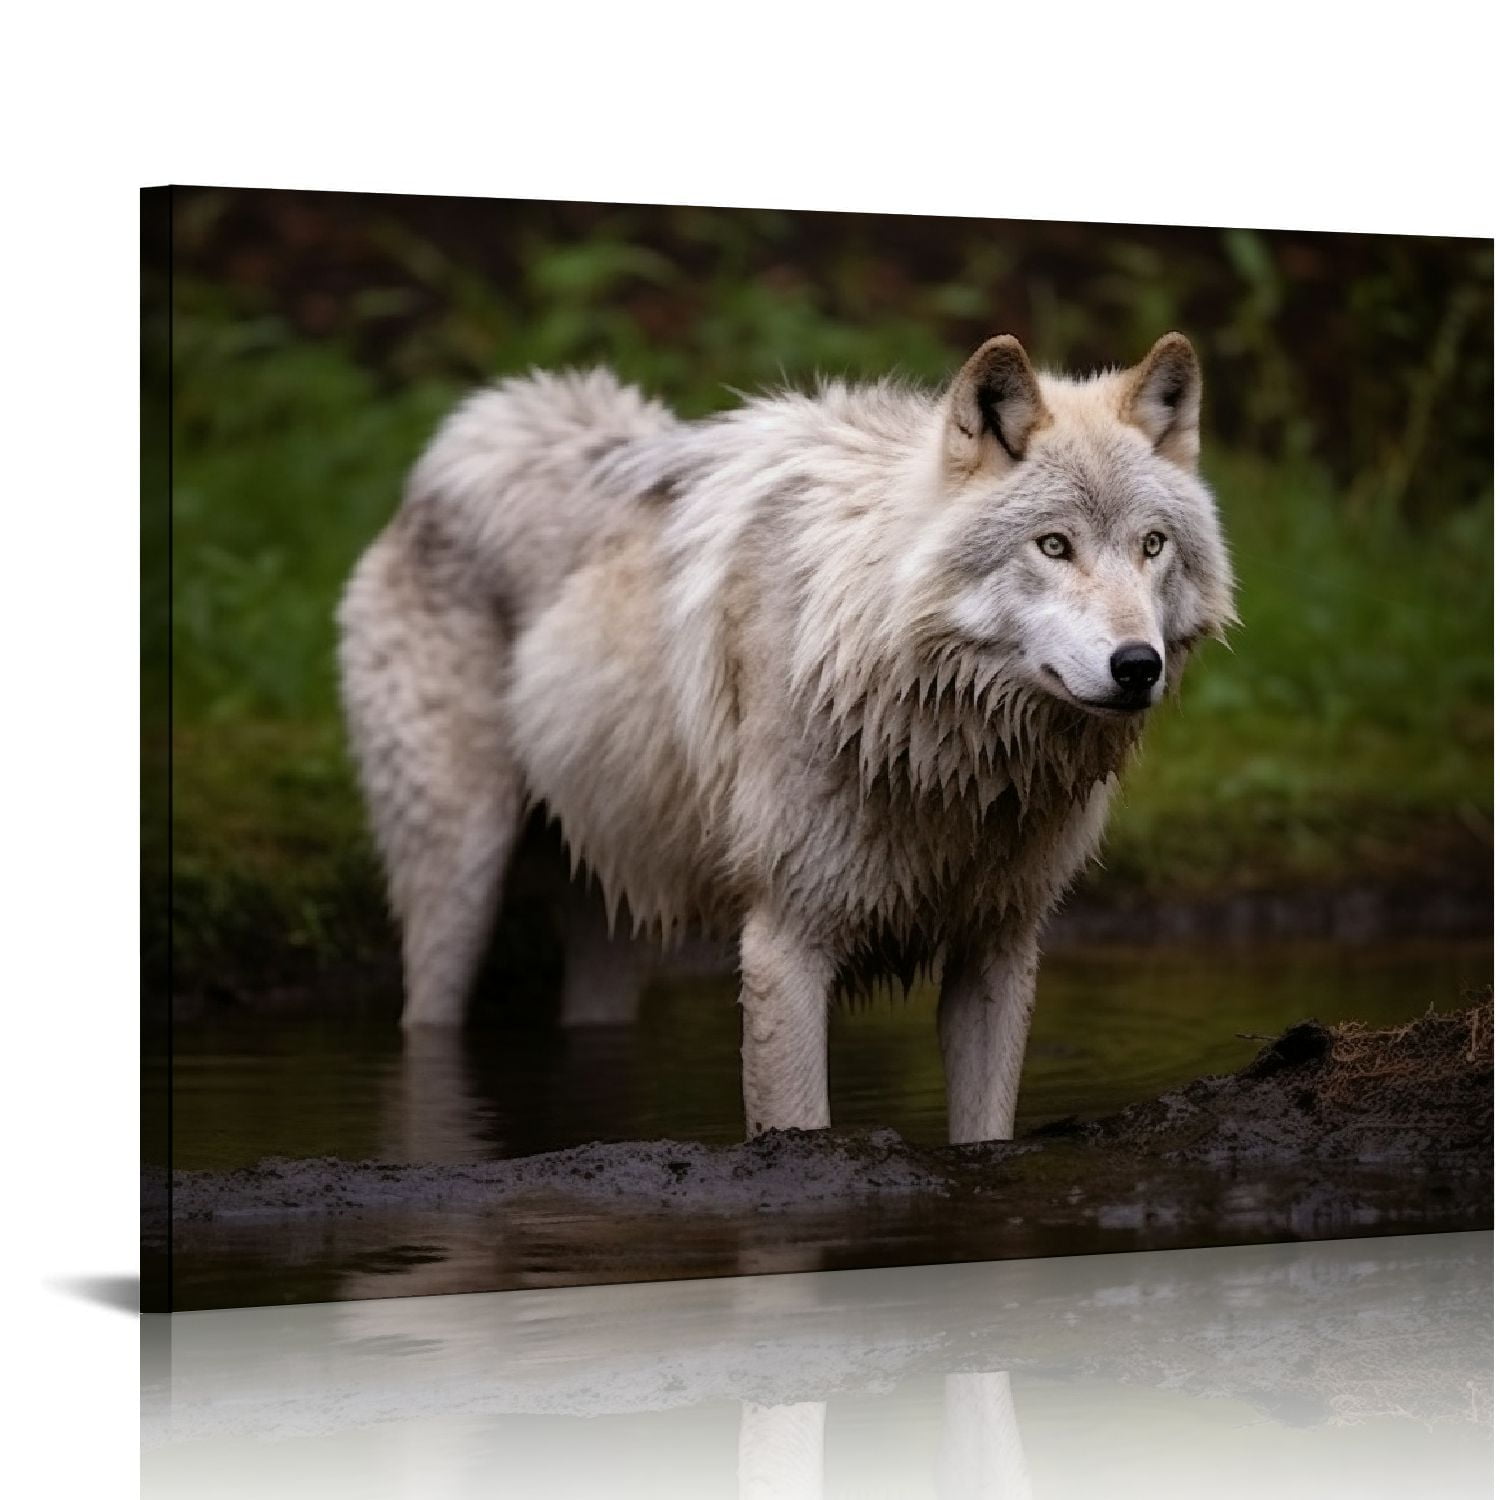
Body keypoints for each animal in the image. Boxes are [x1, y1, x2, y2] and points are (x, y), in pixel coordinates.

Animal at [337, 331, 1234, 1143]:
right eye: (1053, 545)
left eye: (1152, 545)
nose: (1137, 666)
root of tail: (465, 441)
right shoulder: (783, 945)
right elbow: (796, 1125)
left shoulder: (999, 951)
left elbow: (988, 1134)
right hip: (461, 880)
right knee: (426, 1016)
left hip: (610, 914)